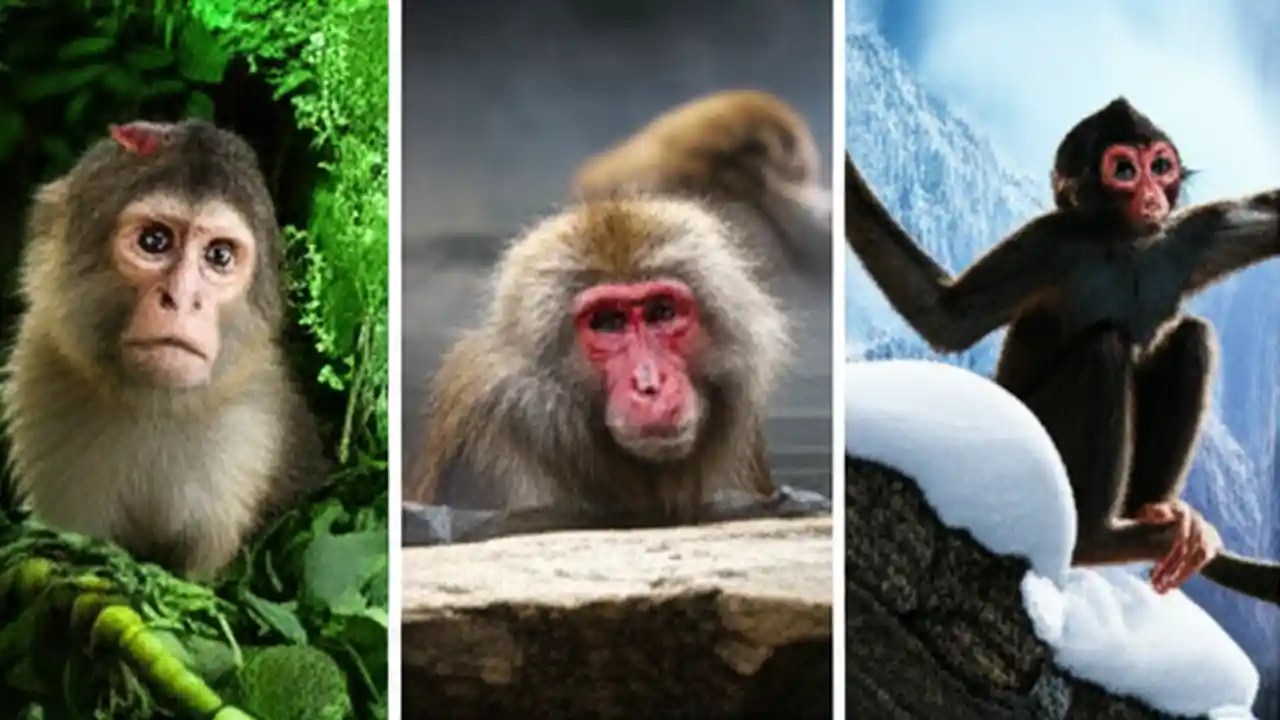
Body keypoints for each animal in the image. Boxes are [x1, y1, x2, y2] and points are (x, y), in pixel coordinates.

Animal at [1, 120, 328, 582]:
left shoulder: (253, 432)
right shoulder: (43, 385)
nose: (182, 298)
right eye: (154, 240)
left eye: (219, 255)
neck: (156, 406)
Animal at [844, 97, 1280, 604]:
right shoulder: (1051, 242)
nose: (1151, 191)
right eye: (1124, 170)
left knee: (1193, 335)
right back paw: (1097, 540)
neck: (1122, 245)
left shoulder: (1183, 238)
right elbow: (943, 316)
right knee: (1106, 347)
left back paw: (1153, 519)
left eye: (1160, 166)